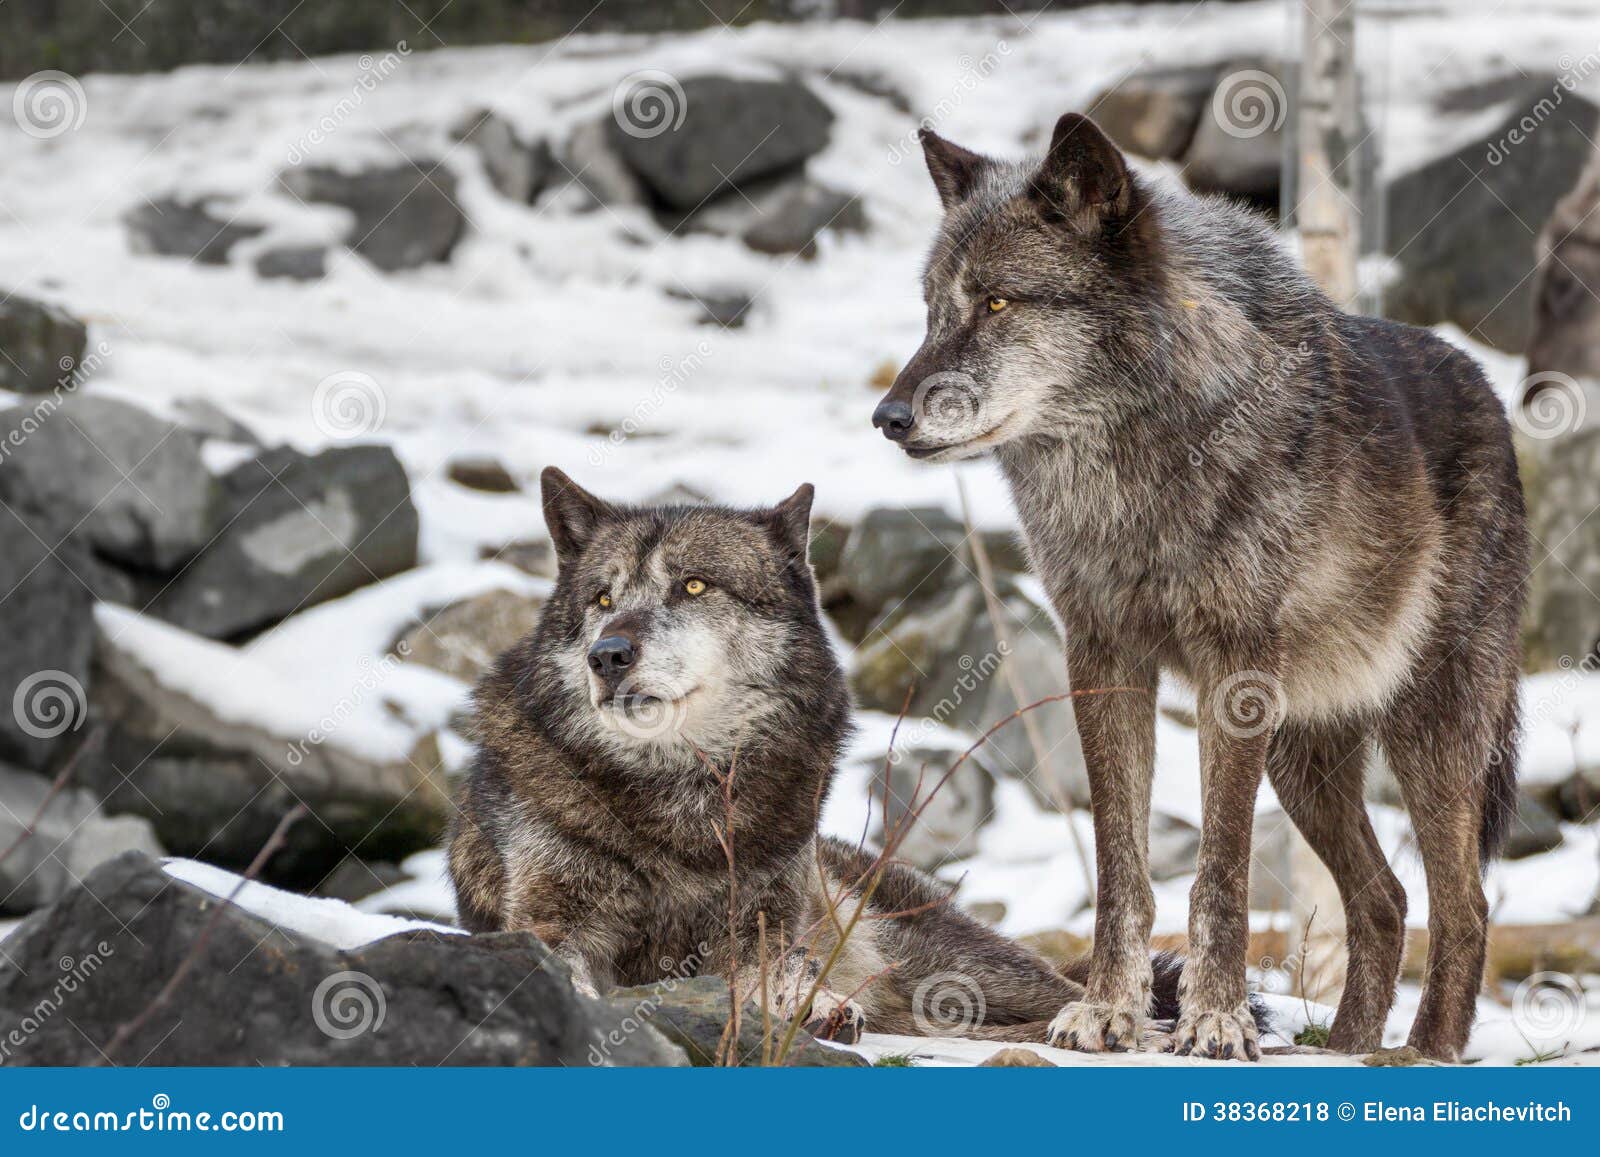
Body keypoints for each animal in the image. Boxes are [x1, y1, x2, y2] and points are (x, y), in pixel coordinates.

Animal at [447, 469, 1253, 1050]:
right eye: (602, 598)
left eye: (694, 585)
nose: (608, 654)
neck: (677, 804)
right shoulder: (553, 920)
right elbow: (564, 969)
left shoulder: (762, 928)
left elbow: (772, 973)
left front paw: (810, 1006)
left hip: (958, 961)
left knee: (1061, 995)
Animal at [872, 114, 1527, 1062]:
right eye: (932, 309)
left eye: (996, 303)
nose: (887, 417)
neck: (1131, 475)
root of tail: (1492, 395)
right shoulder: (1101, 654)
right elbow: (1121, 863)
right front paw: (1108, 1010)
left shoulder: (1235, 669)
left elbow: (1220, 868)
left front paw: (1214, 1017)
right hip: (1305, 762)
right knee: (1385, 899)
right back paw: (1338, 1044)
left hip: (1430, 733)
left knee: (1464, 902)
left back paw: (1422, 1049)